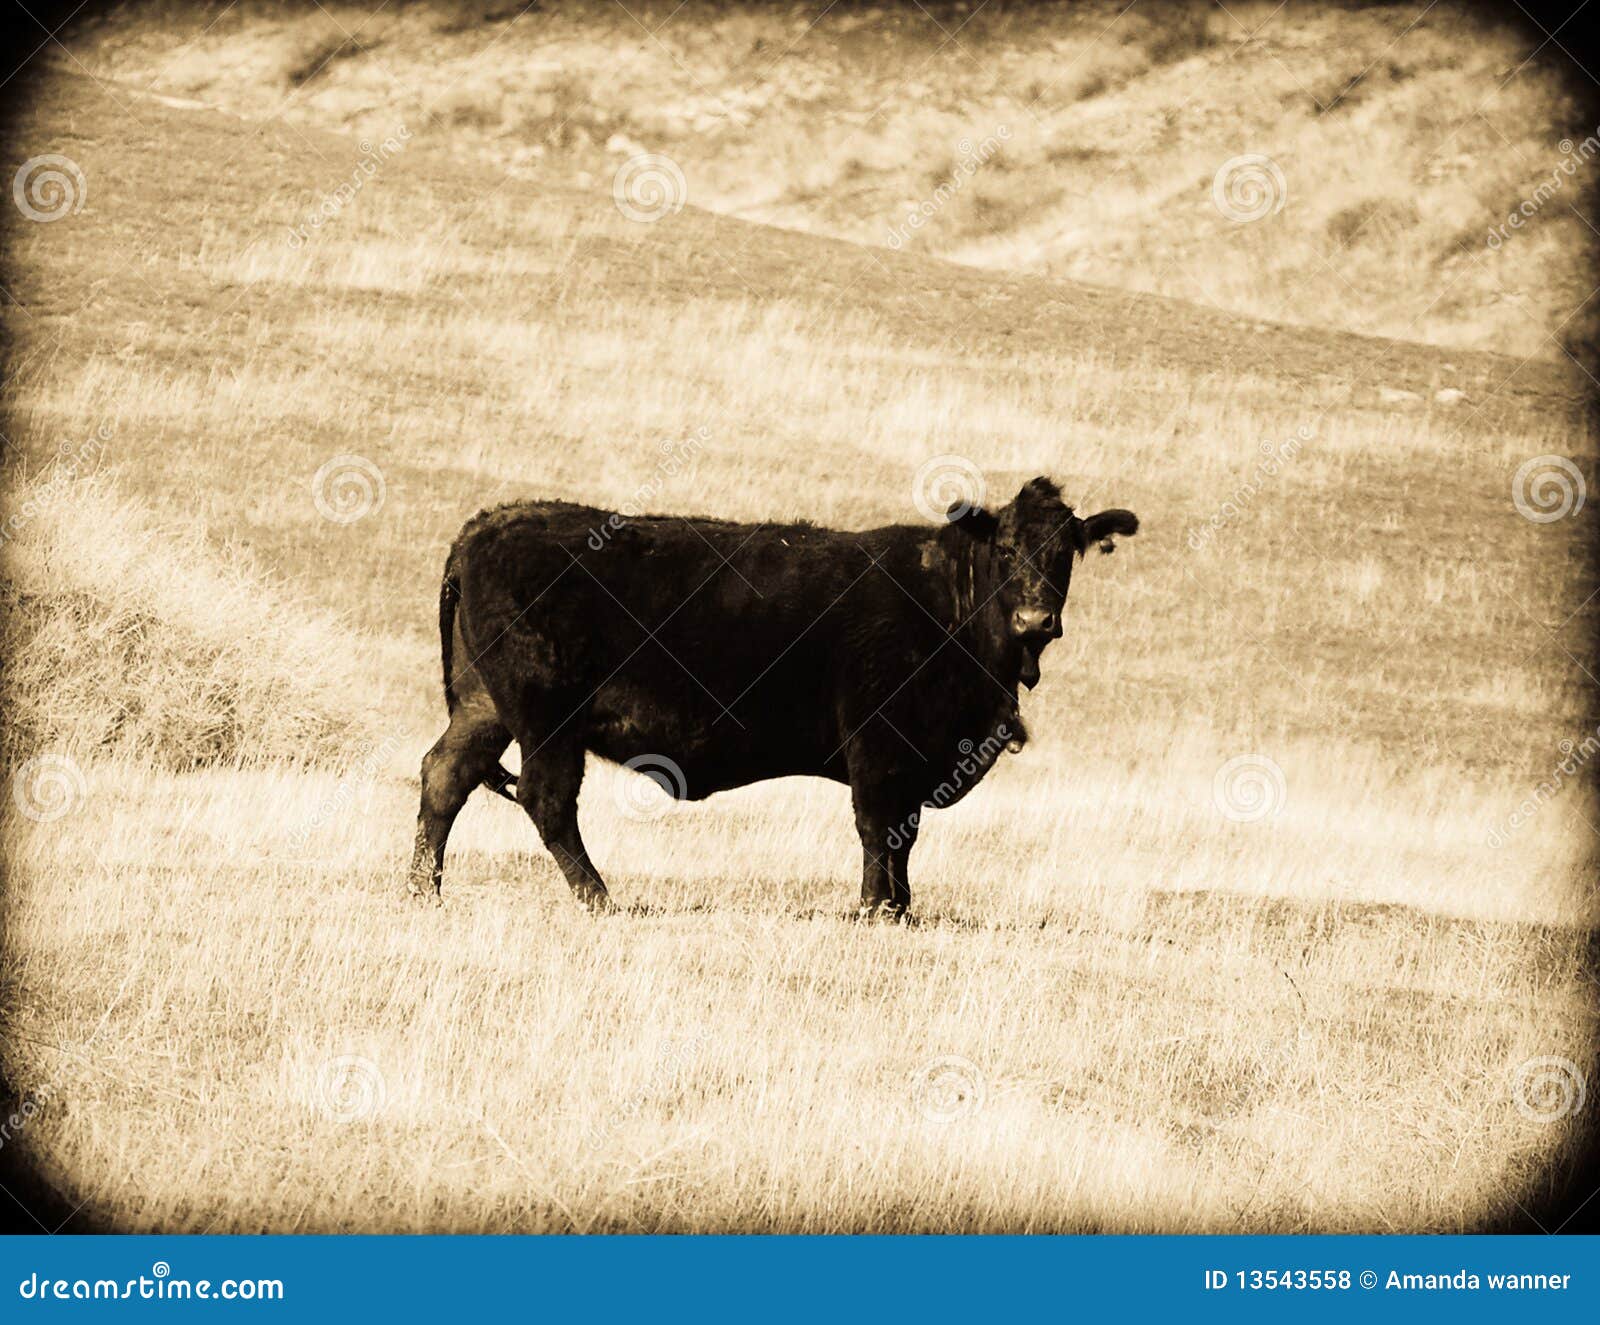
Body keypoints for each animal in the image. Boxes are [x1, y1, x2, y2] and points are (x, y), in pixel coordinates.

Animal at [407, 476, 1138, 916]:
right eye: (1007, 549)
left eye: (1067, 551)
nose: (1037, 620)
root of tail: (492, 521)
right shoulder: (880, 743)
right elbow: (880, 826)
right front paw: (876, 909)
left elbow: (904, 834)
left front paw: (901, 907)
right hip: (547, 717)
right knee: (546, 800)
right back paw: (600, 898)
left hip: (484, 707)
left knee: (445, 775)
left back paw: (423, 890)